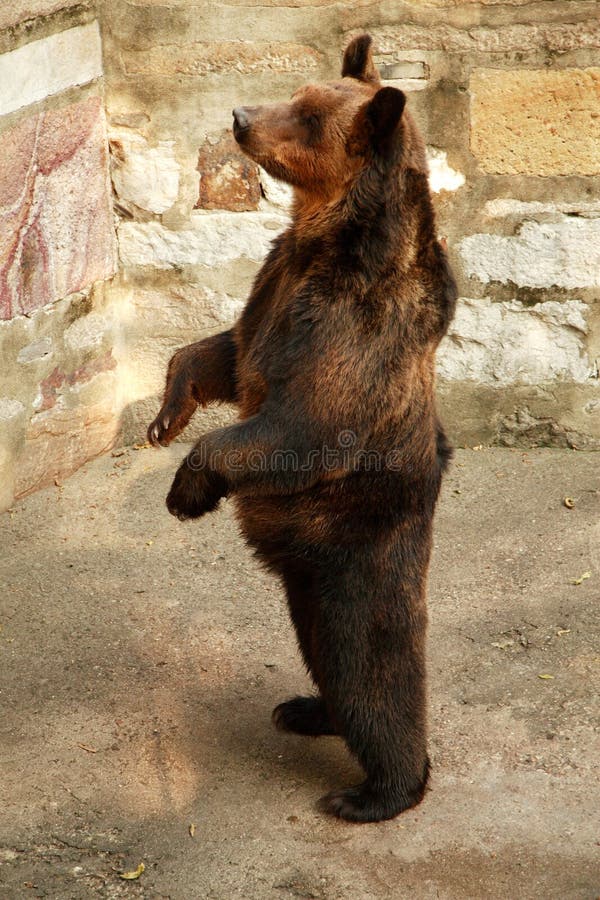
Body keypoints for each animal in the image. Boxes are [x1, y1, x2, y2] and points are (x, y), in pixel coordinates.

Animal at [147, 33, 457, 823]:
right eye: (298, 93)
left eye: (309, 117)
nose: (240, 116)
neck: (324, 237)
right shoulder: (274, 285)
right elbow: (225, 352)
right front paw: (166, 414)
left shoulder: (349, 329)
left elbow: (298, 423)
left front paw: (186, 490)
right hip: (307, 581)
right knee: (320, 654)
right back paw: (304, 708)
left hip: (358, 561)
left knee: (369, 671)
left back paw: (376, 791)